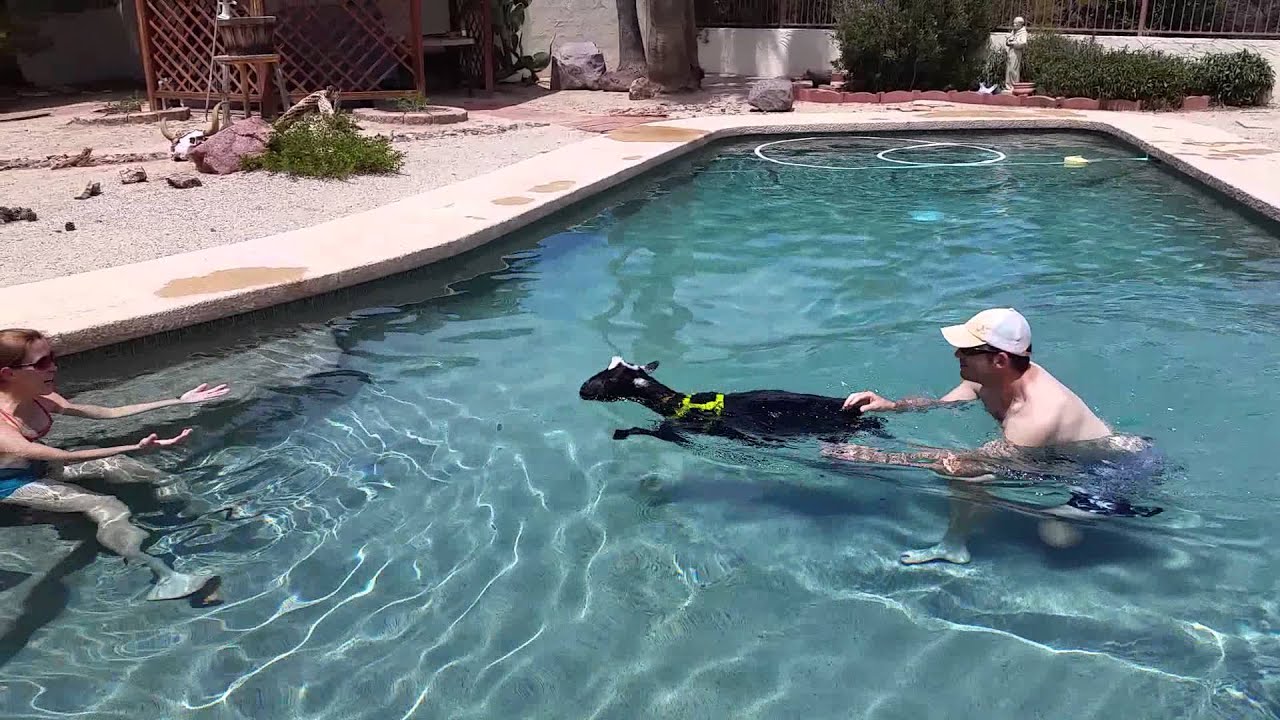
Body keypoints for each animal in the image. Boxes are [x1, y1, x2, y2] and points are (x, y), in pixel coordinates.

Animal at [579, 356, 890, 446]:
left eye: (609, 379)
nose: (582, 389)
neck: (679, 401)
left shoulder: (679, 431)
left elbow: (653, 432)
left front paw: (621, 432)